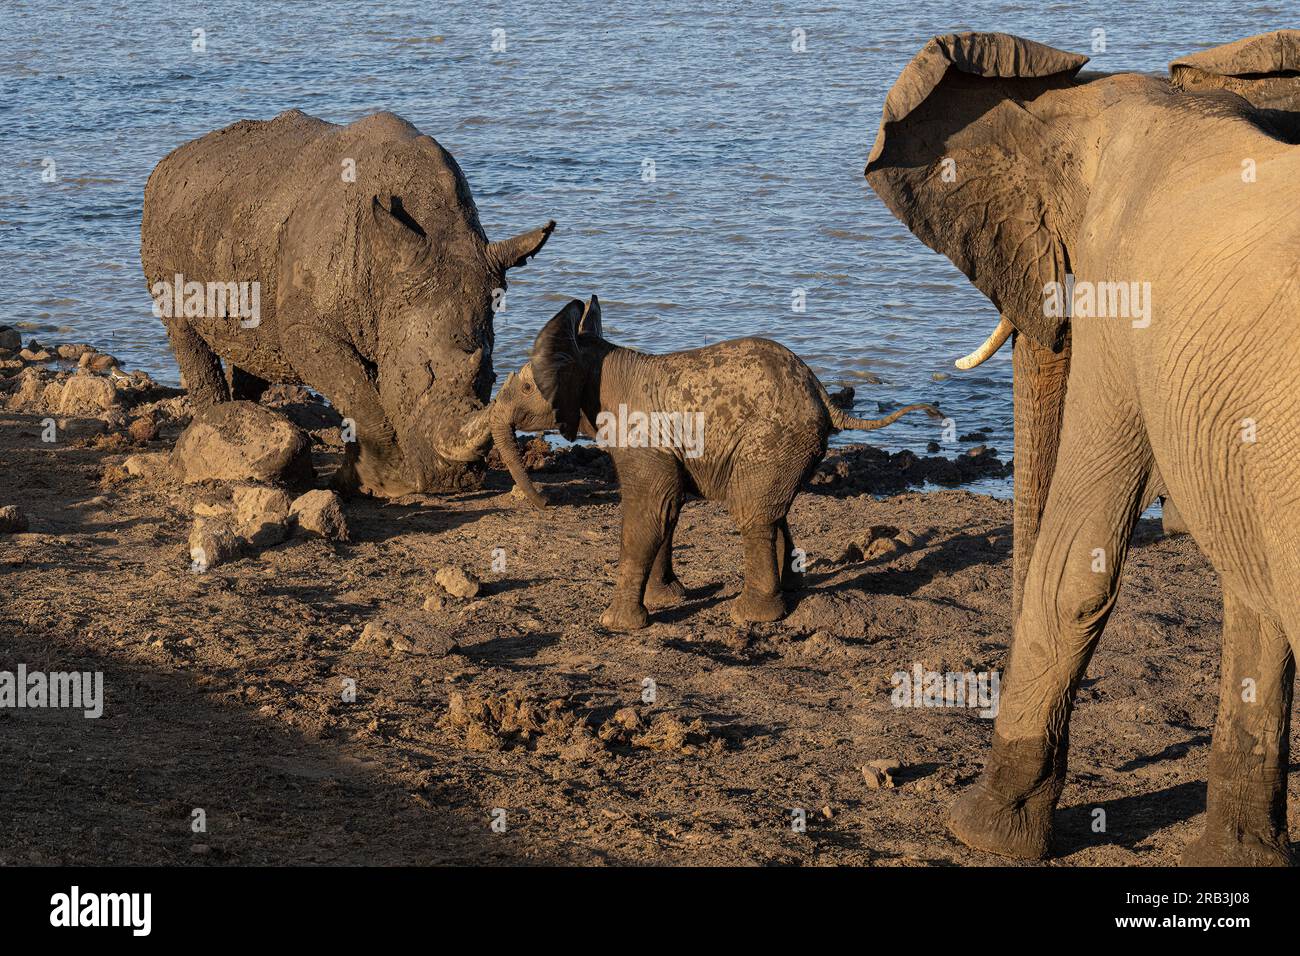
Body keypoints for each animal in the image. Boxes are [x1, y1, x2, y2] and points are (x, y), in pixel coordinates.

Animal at [141, 109, 554, 497]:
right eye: (415, 376)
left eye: (490, 377)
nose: (452, 482)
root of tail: (168, 162)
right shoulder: (308, 327)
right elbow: (359, 397)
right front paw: (386, 483)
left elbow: (361, 396)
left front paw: (359, 480)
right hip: (161, 220)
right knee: (183, 330)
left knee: (255, 342)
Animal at [486, 295, 940, 630]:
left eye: (526, 387)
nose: (545, 503)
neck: (597, 353)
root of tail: (824, 397)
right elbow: (668, 512)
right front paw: (667, 599)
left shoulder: (640, 438)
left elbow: (650, 513)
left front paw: (616, 624)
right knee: (773, 512)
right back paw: (789, 594)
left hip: (773, 439)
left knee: (753, 513)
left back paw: (751, 615)